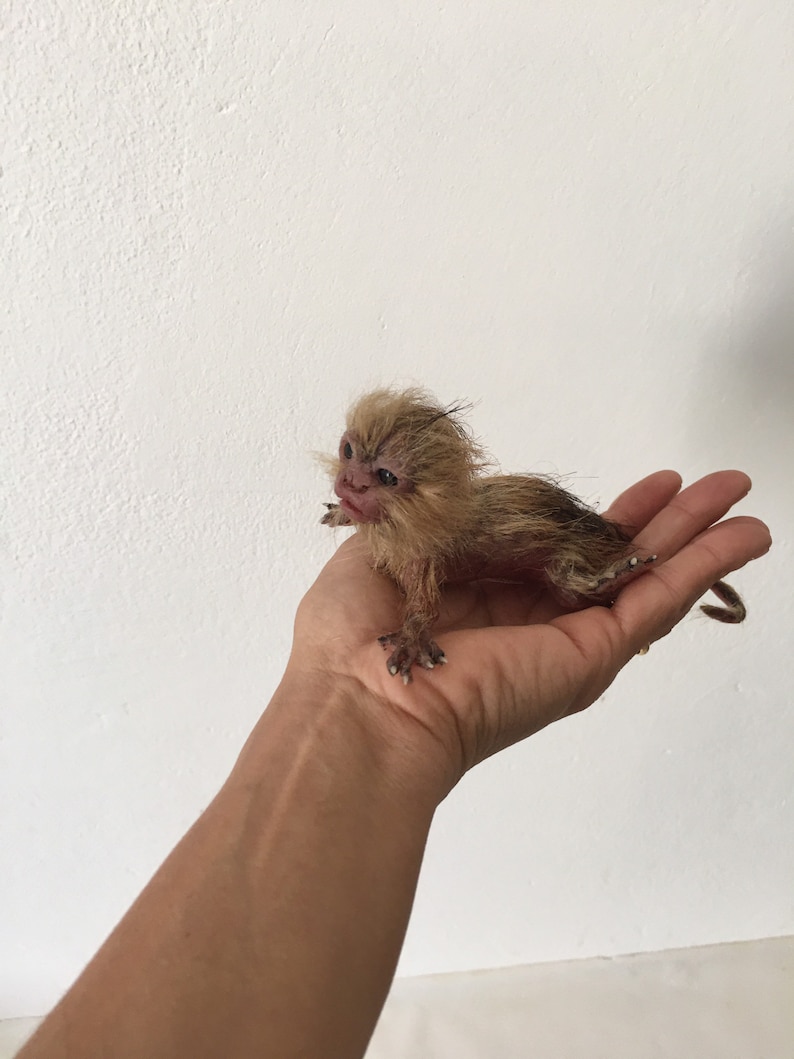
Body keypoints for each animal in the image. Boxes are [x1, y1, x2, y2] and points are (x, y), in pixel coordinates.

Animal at [321, 387, 746, 683]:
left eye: (385, 476)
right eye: (348, 451)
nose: (350, 484)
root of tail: (609, 536)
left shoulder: (423, 558)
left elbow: (424, 610)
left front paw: (411, 638)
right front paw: (342, 513)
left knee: (568, 581)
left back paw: (610, 578)